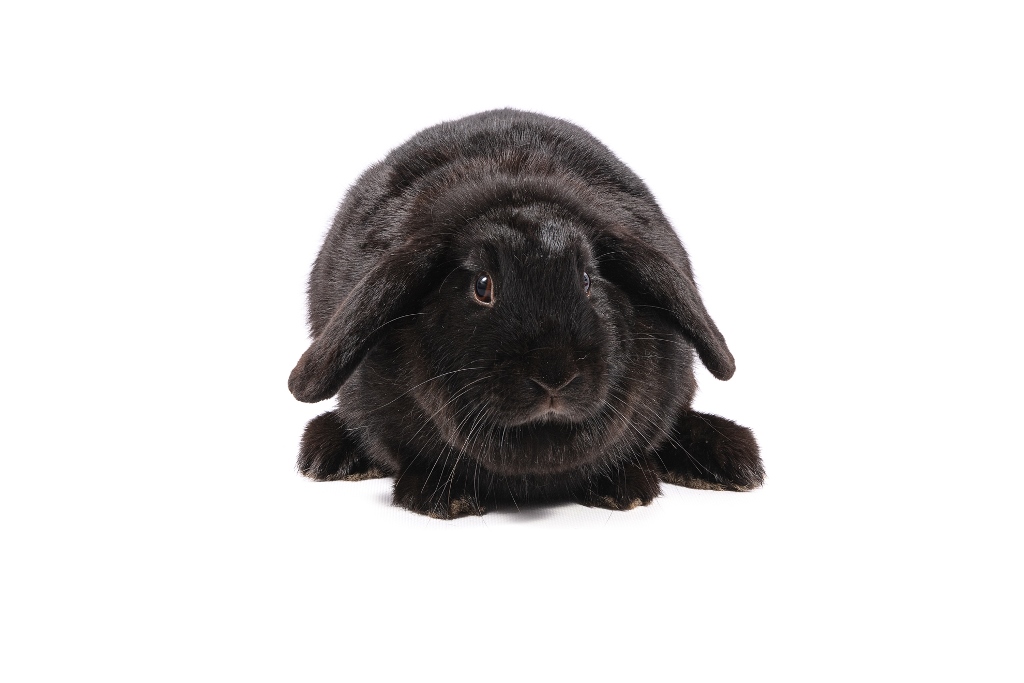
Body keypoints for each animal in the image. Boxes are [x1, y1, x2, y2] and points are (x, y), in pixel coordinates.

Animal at [289, 109, 764, 518]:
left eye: (588, 279)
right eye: (482, 286)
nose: (554, 375)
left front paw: (624, 487)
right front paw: (443, 497)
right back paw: (326, 453)